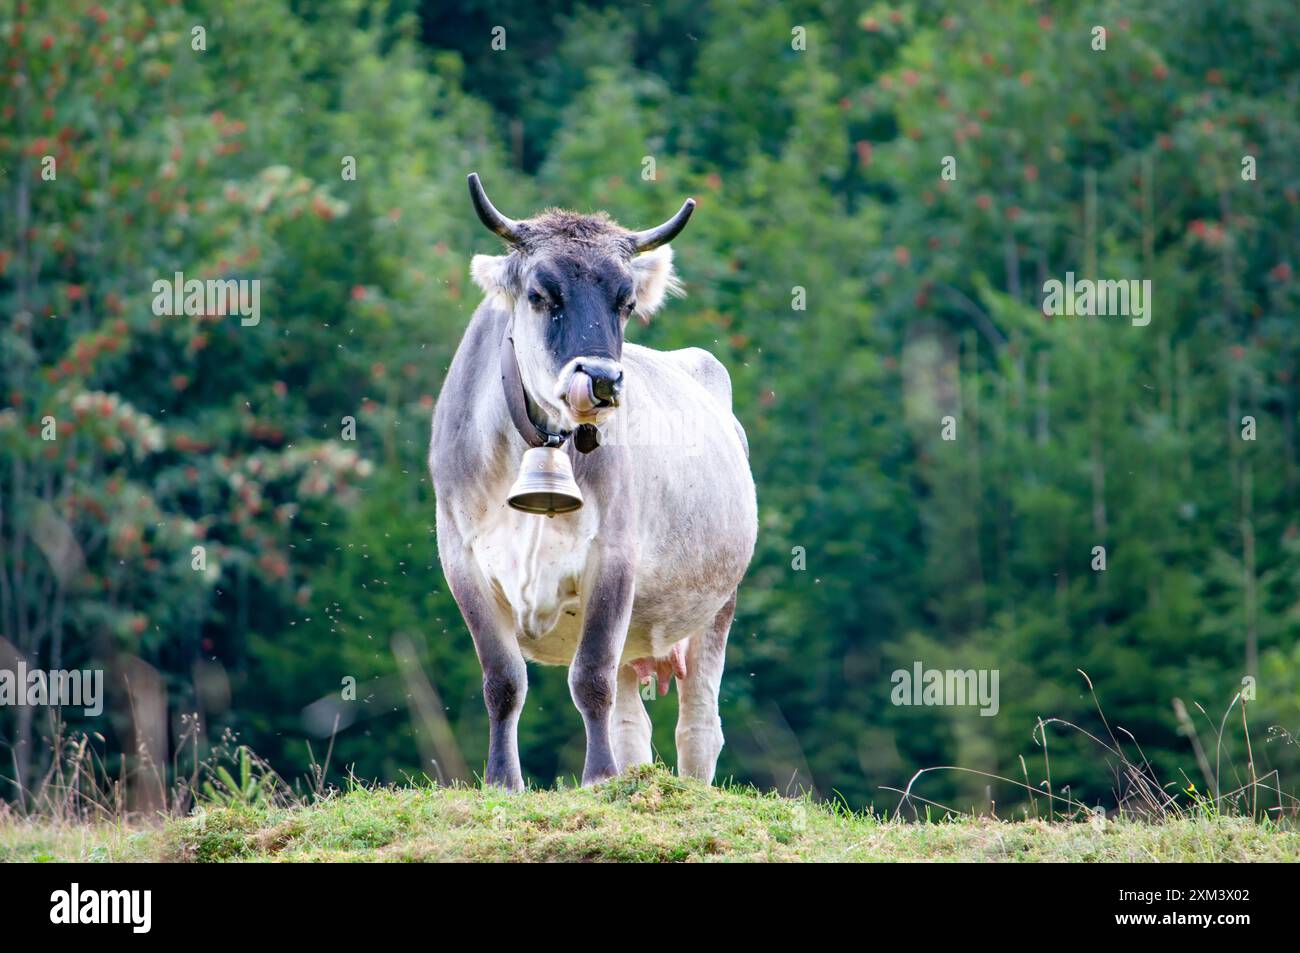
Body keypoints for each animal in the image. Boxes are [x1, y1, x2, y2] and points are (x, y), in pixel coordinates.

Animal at [429, 173, 756, 789]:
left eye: (625, 303)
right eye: (540, 295)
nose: (602, 379)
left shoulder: (614, 557)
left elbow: (591, 678)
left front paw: (598, 777)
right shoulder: (461, 559)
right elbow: (503, 681)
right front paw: (503, 781)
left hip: (716, 604)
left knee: (699, 724)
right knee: (634, 726)